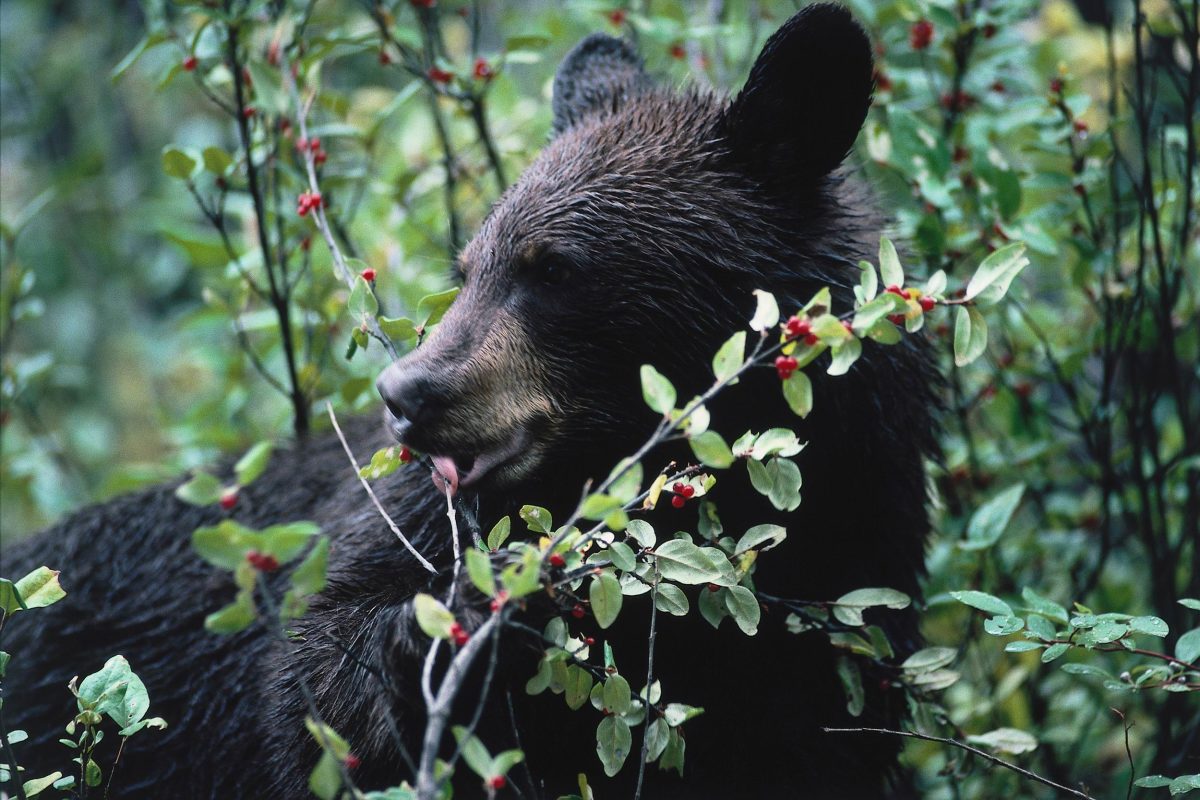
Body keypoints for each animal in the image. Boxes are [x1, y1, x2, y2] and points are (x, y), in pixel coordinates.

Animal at [3, 4, 936, 798]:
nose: (406, 393)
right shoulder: (410, 517)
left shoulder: (842, 604)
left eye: (552, 268)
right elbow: (310, 695)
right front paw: (452, 628)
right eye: (467, 265)